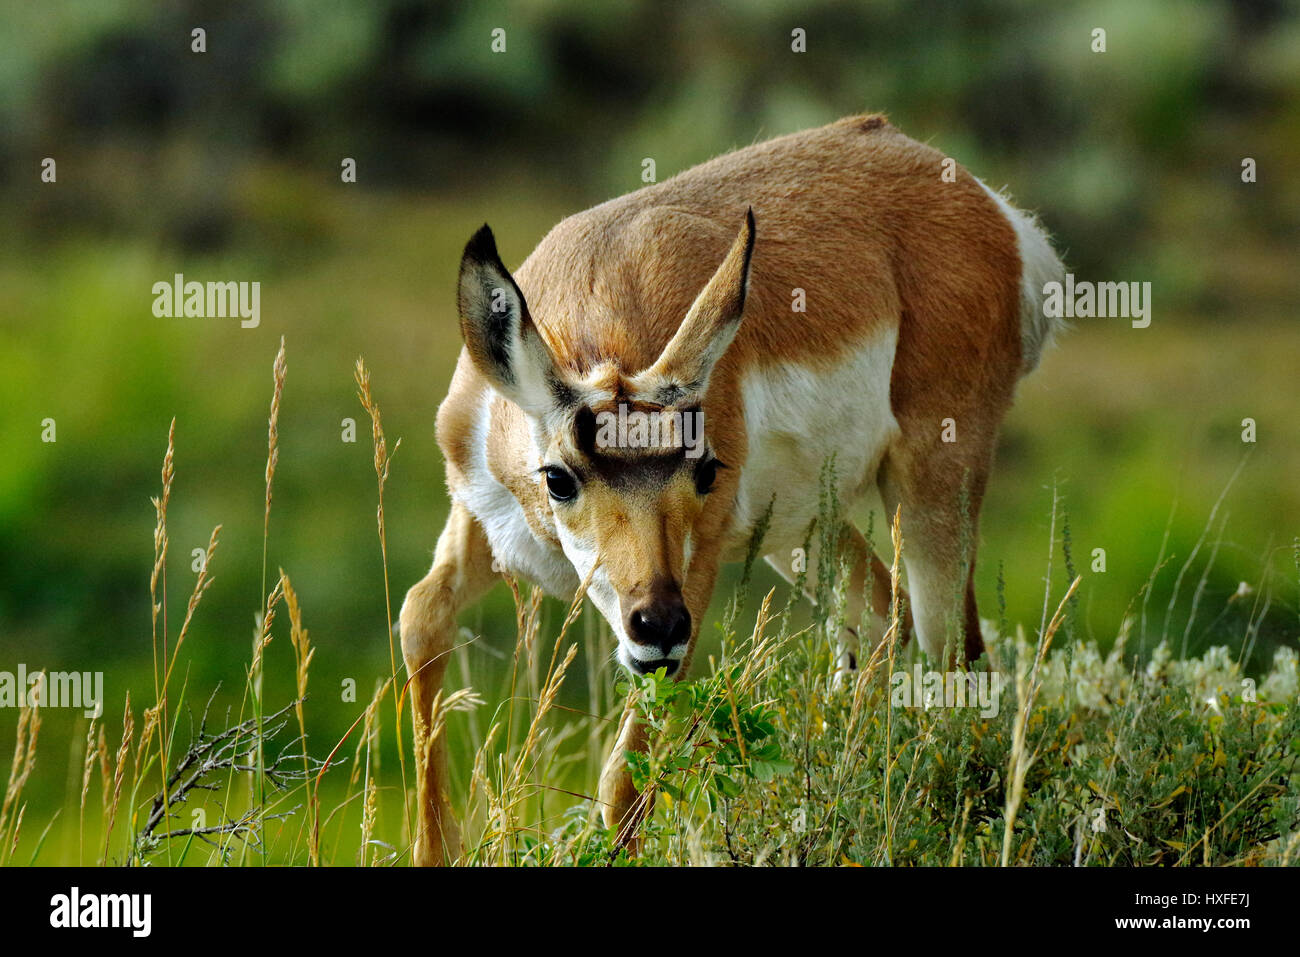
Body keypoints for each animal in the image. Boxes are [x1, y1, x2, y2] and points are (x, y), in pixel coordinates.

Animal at [399, 113, 1065, 865]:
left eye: (705, 470)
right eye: (558, 477)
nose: (657, 623)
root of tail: (989, 206)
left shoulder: (698, 576)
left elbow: (621, 784)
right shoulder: (483, 525)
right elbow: (420, 619)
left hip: (929, 491)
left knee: (956, 656)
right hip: (806, 530)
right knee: (881, 614)